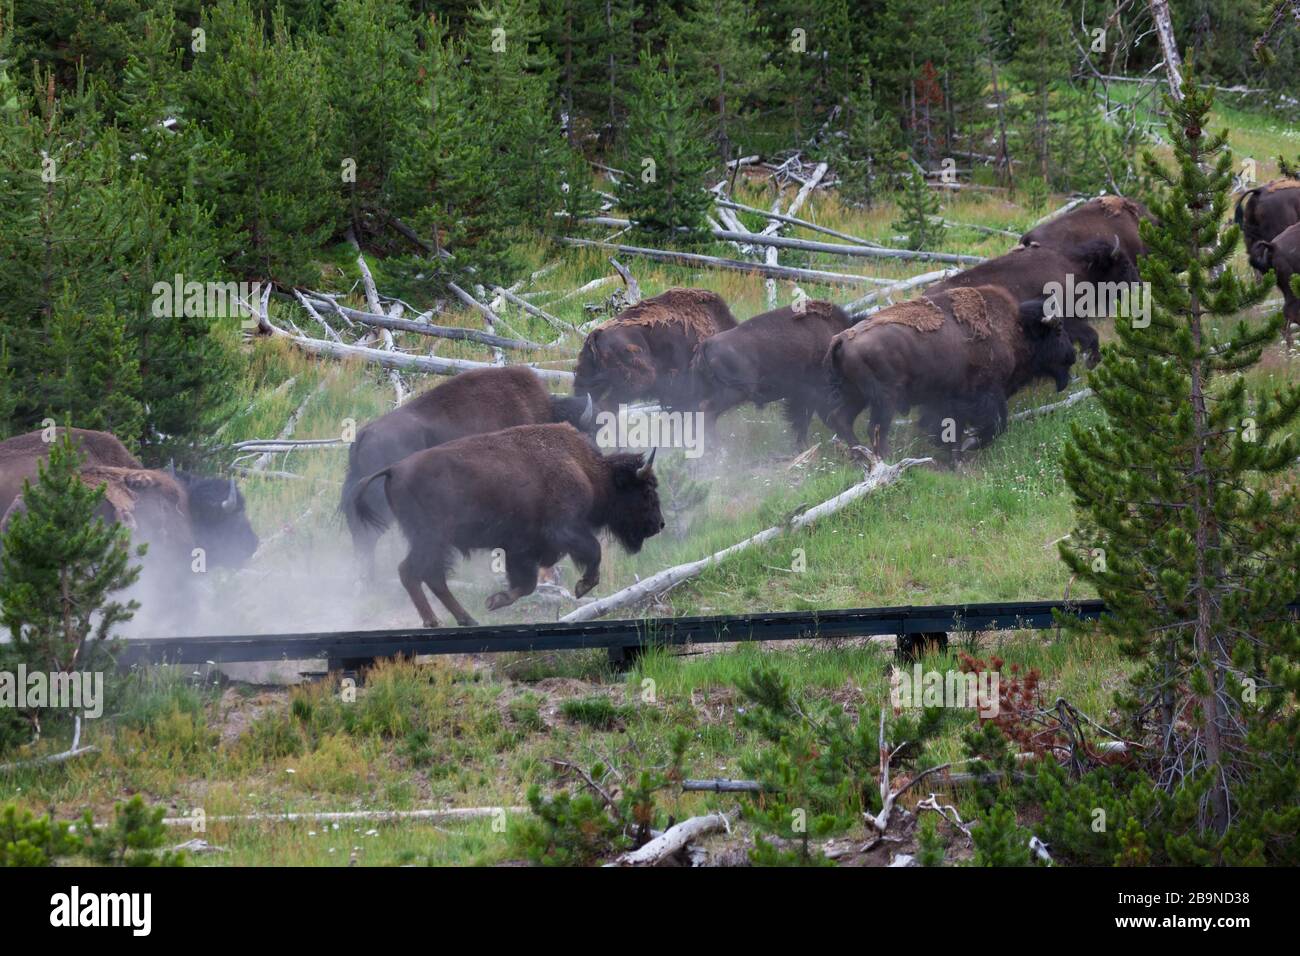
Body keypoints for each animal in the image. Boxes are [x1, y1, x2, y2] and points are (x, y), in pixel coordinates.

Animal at [347, 423, 663, 627]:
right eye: (646, 491)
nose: (659, 524)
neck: (588, 471)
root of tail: (394, 469)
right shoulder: (563, 531)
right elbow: (592, 551)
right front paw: (583, 587)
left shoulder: (521, 550)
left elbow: (526, 584)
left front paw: (495, 600)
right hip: (431, 539)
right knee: (412, 572)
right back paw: (435, 621)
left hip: (435, 542)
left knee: (430, 576)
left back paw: (466, 619)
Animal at [691, 300, 855, 449]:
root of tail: (706, 344)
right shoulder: (810, 394)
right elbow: (802, 420)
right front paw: (803, 446)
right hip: (735, 392)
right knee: (708, 411)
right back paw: (717, 448)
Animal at [824, 285, 1075, 458]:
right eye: (1058, 330)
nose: (1071, 355)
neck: (1014, 329)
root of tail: (841, 338)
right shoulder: (985, 393)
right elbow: (996, 424)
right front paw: (968, 446)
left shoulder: (950, 400)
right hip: (884, 400)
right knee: (875, 428)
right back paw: (886, 458)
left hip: (857, 395)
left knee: (842, 419)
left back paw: (860, 456)